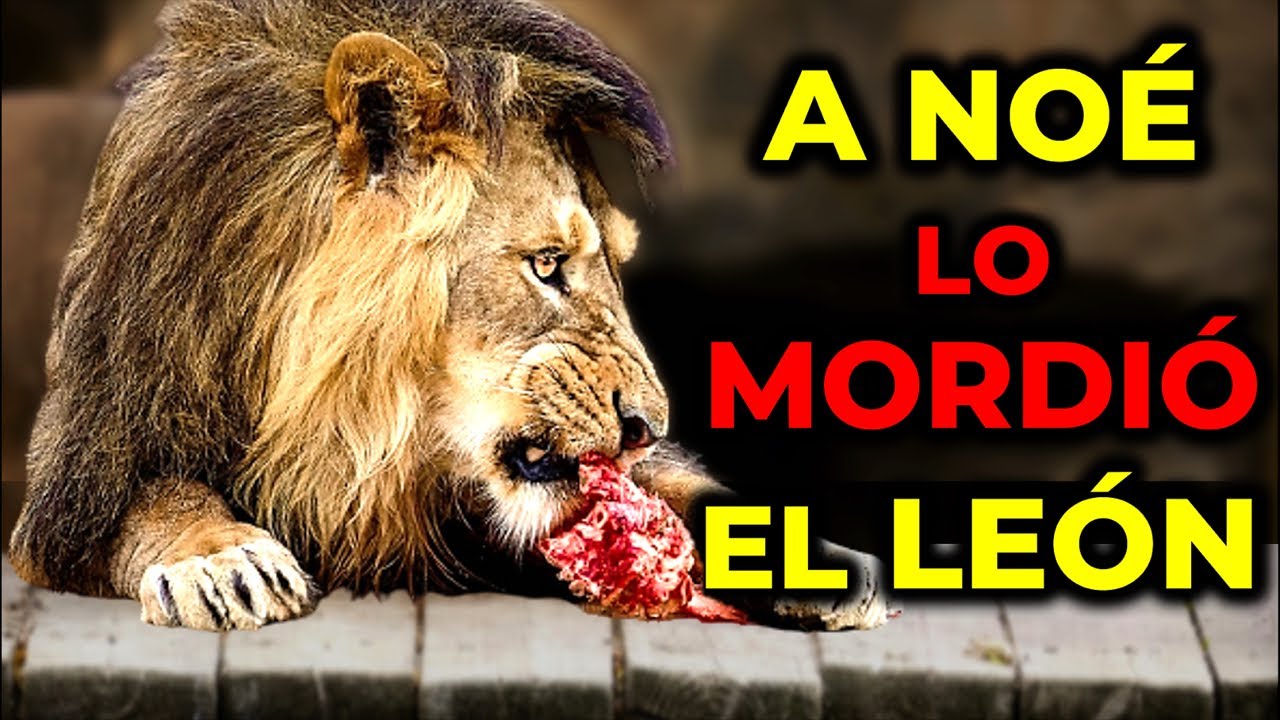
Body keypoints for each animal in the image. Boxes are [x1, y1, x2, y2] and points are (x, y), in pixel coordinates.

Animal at [8, 0, 892, 632]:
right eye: (547, 264)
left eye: (610, 260)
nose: (646, 426)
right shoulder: (72, 483)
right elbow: (159, 502)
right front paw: (226, 561)